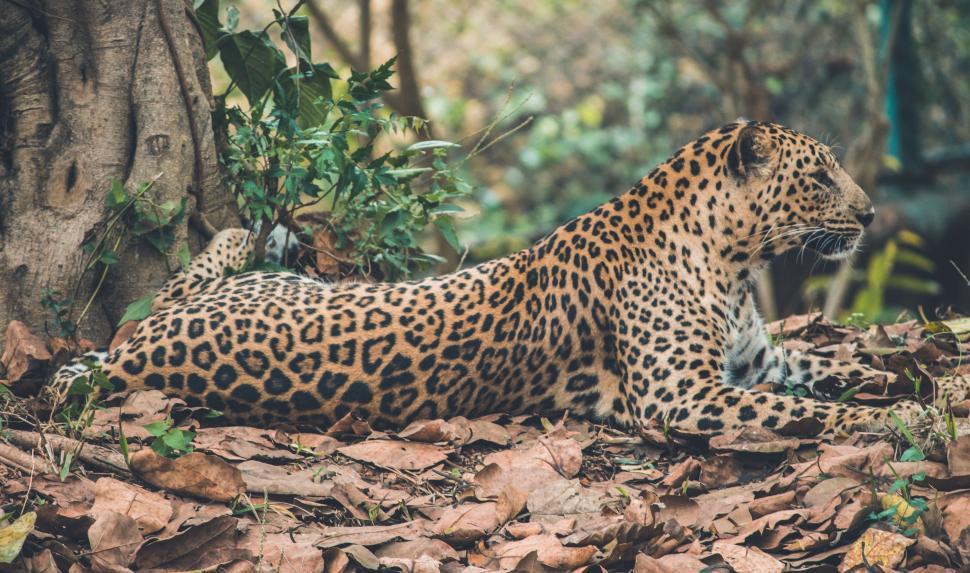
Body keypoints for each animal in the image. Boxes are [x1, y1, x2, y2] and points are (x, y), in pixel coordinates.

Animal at [54, 121, 965, 435]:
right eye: (818, 177)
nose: (871, 214)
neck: (735, 263)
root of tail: (134, 362)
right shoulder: (683, 395)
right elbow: (795, 408)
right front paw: (886, 420)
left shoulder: (759, 358)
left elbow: (828, 364)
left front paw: (909, 373)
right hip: (242, 299)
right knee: (163, 295)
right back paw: (244, 229)